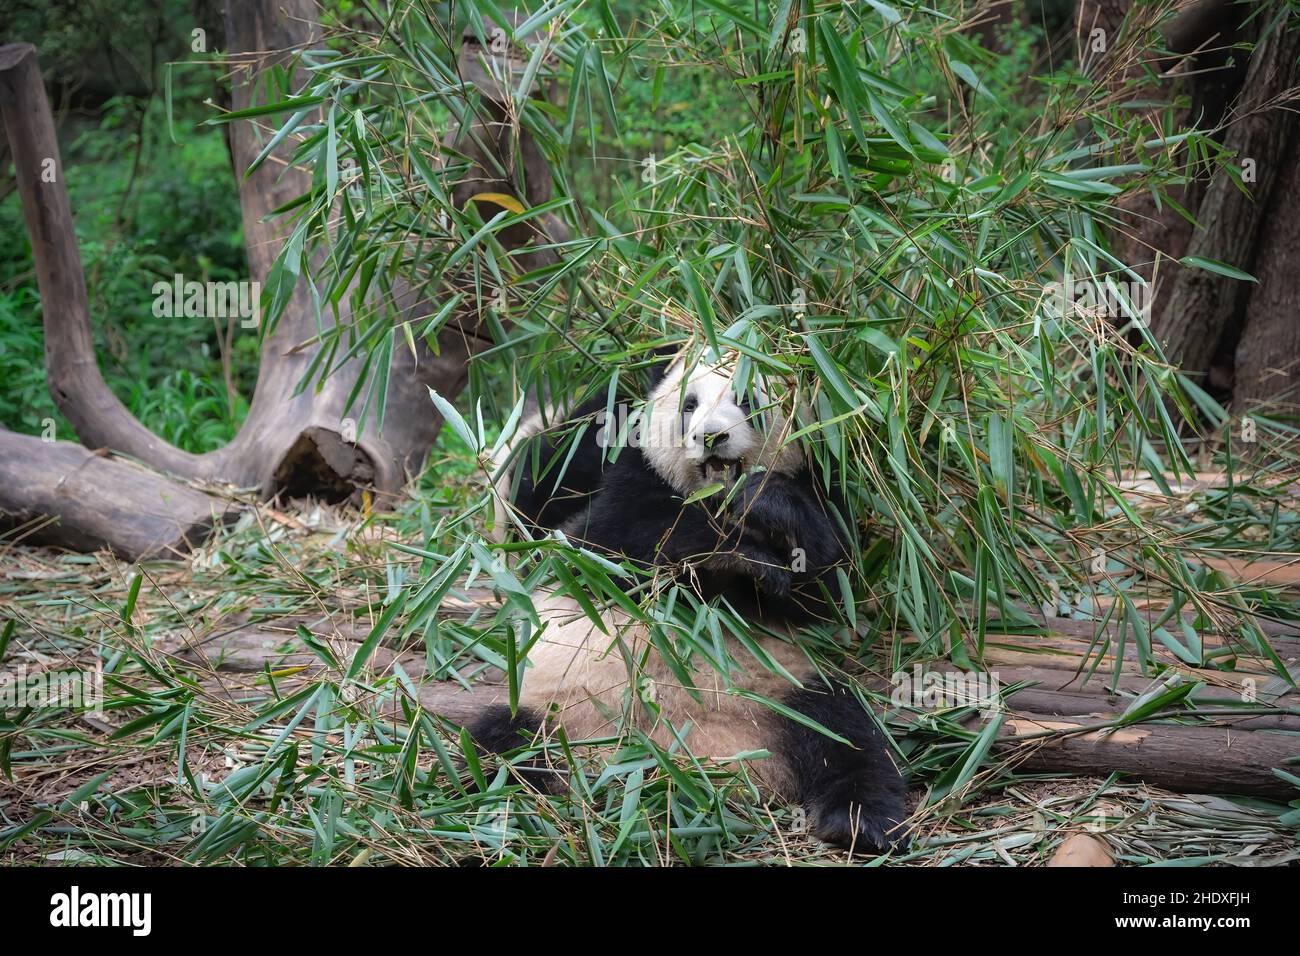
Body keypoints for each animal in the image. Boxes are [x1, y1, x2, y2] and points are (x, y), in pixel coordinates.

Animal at [472, 348, 908, 851]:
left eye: (748, 399)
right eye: (689, 404)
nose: (712, 436)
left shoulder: (823, 484)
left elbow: (829, 587)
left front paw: (767, 507)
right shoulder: (621, 487)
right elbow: (621, 541)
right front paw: (742, 556)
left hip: (785, 692)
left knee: (849, 739)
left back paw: (860, 823)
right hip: (560, 709)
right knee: (502, 745)